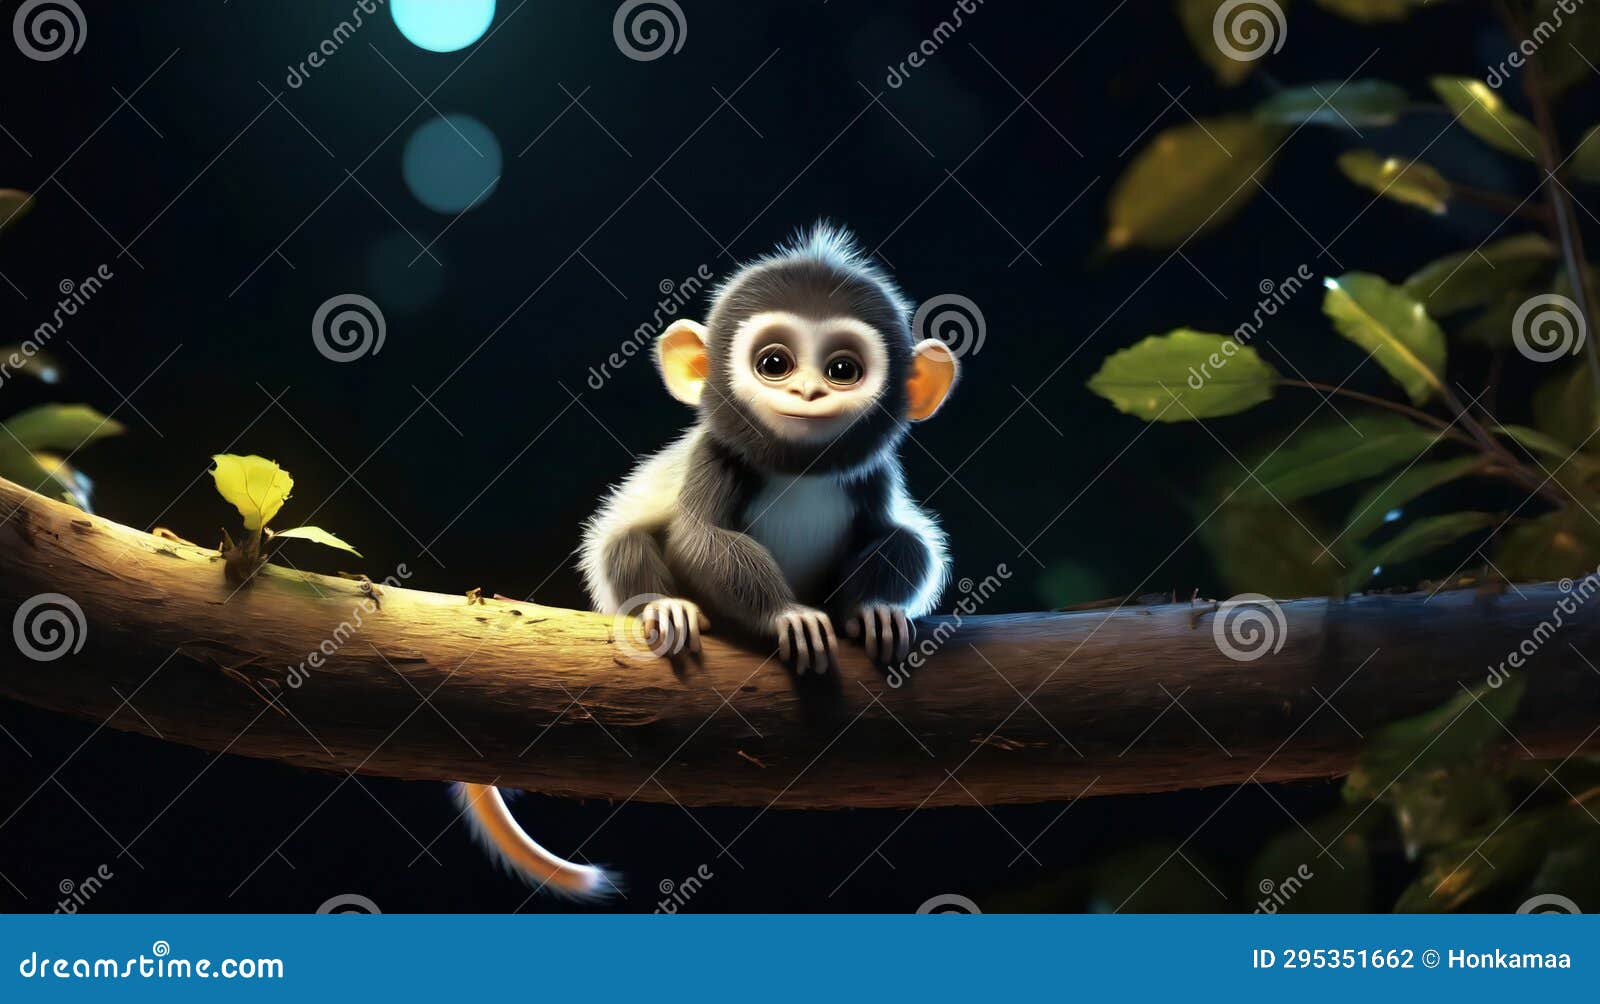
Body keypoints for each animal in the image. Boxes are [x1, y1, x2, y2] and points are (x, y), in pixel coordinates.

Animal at [455, 223, 960, 900]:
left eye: (843, 369)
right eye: (774, 363)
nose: (808, 392)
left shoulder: (873, 476)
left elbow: (905, 539)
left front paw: (877, 609)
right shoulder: (715, 458)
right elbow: (698, 538)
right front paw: (787, 617)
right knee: (626, 542)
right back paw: (668, 608)